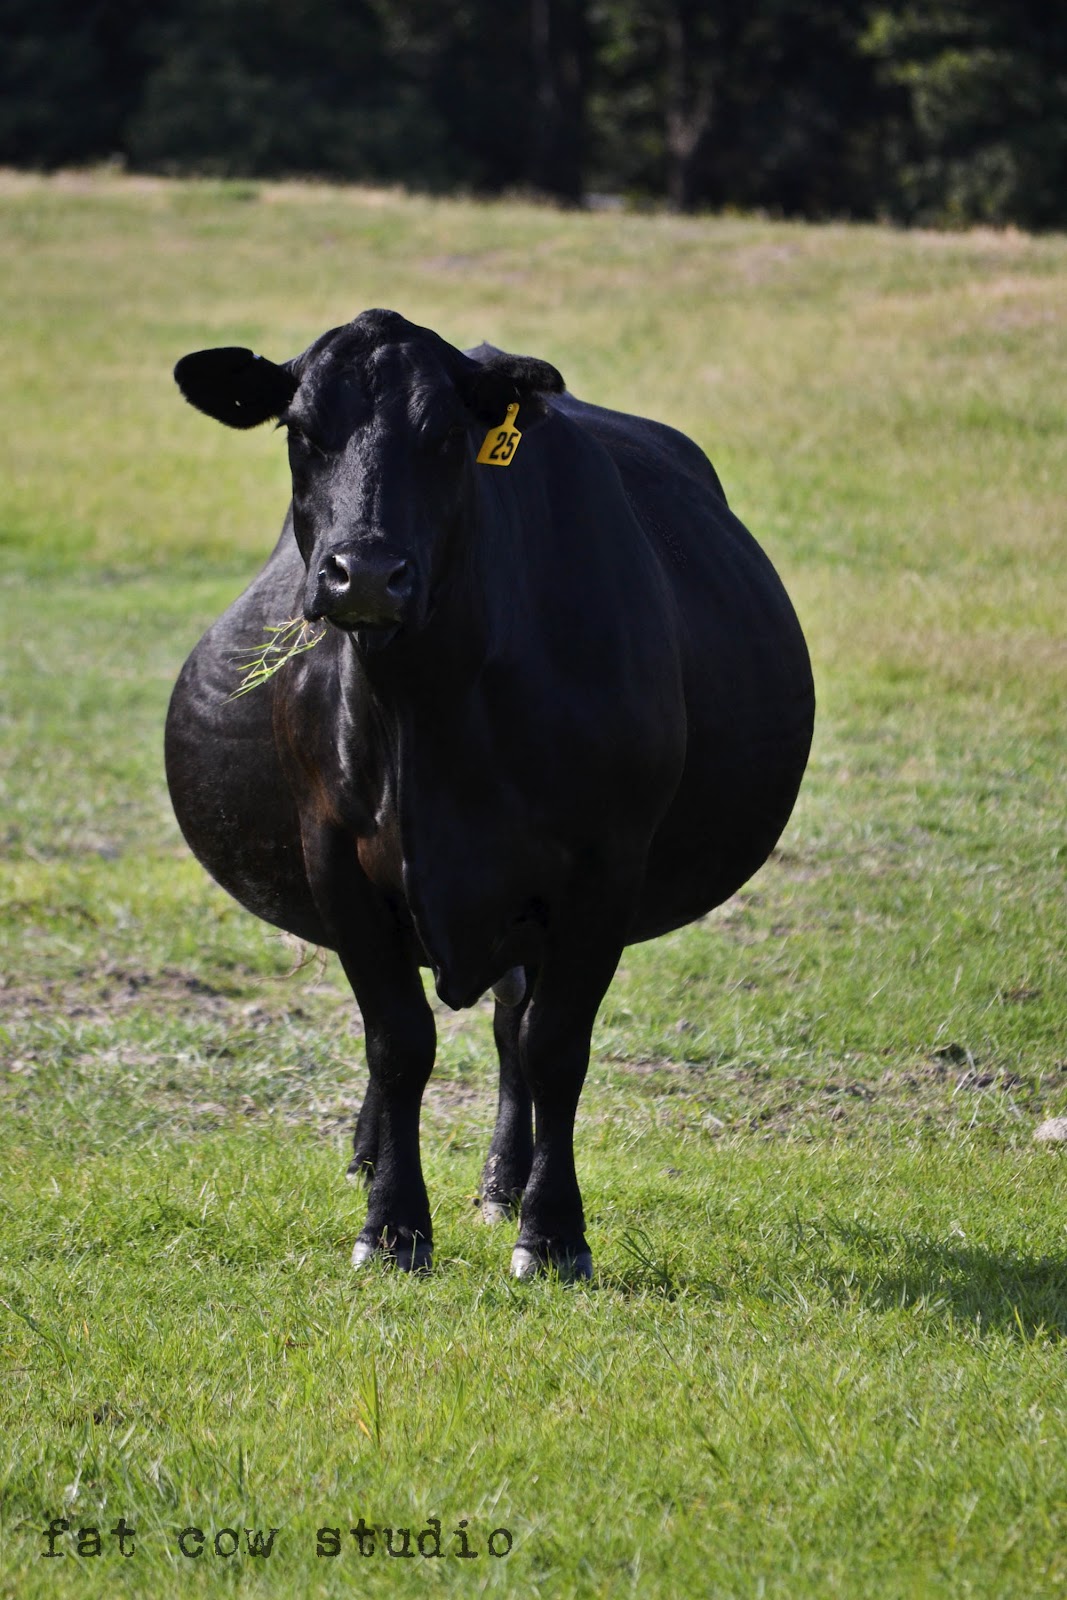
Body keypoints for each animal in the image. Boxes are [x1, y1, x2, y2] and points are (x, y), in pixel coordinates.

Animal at [165, 309, 814, 1279]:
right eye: (301, 430)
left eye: (445, 435)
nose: (364, 573)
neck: (431, 708)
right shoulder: (335, 856)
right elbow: (399, 1040)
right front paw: (392, 1227)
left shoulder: (603, 867)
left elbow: (554, 1046)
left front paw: (552, 1234)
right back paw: (372, 1158)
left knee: (515, 1024)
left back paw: (504, 1182)